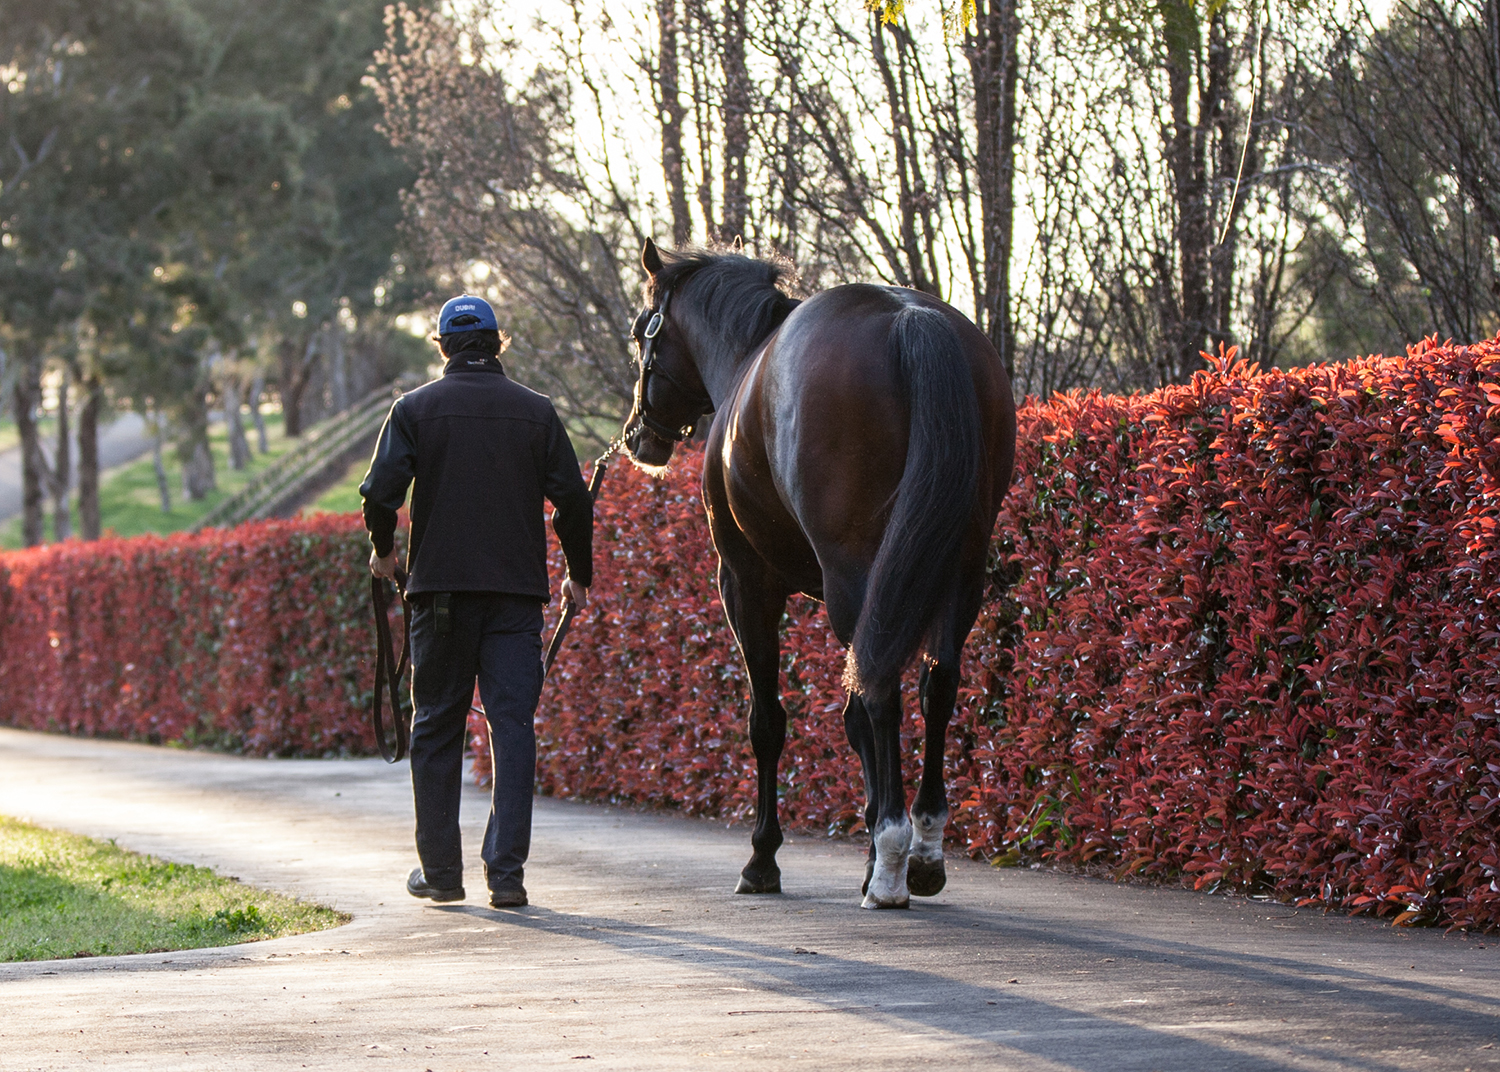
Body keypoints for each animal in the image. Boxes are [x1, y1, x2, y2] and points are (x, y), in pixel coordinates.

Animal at [622, 239, 1016, 908]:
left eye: (640, 331)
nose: (635, 435)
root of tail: (911, 320)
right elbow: (858, 719)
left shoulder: (746, 583)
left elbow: (770, 722)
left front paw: (764, 858)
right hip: (956, 572)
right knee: (936, 686)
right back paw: (924, 848)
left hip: (856, 575)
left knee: (881, 692)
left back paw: (891, 860)